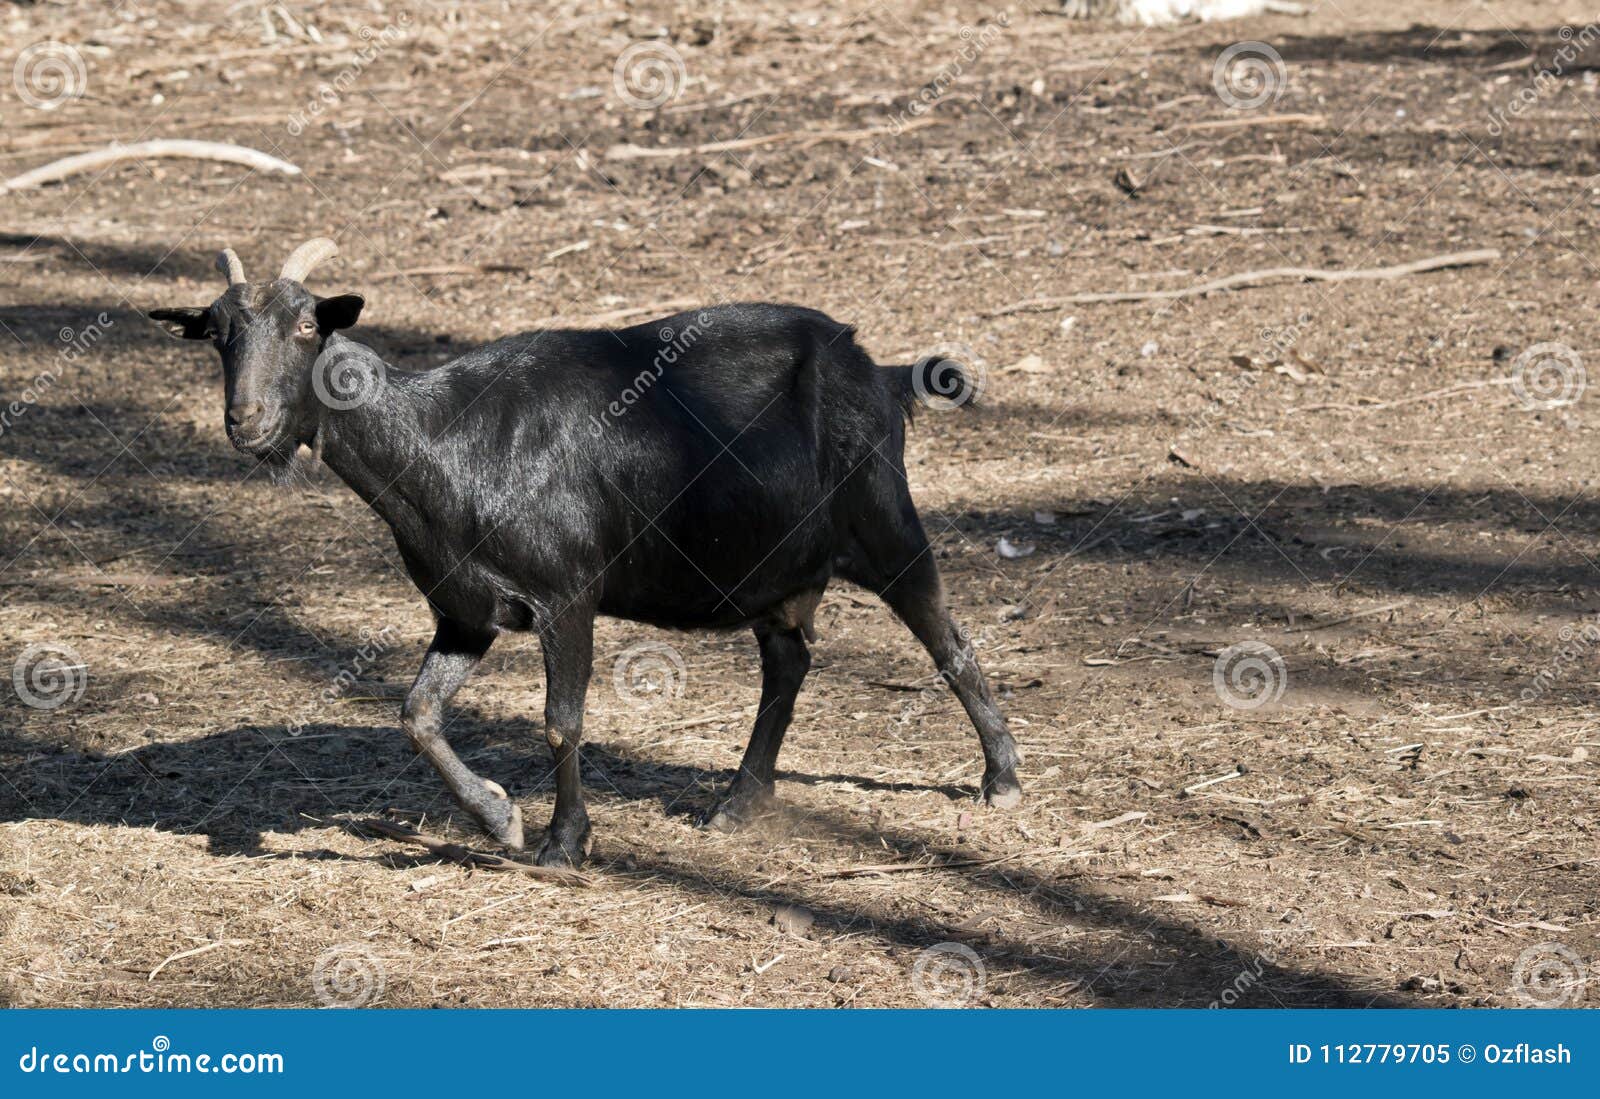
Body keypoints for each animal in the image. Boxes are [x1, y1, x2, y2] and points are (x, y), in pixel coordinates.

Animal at [149, 240, 1022, 867]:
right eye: (218, 334)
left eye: (308, 327)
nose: (247, 421)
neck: (446, 441)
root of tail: (880, 370)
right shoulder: (467, 612)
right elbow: (417, 713)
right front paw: (500, 817)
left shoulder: (566, 593)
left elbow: (561, 722)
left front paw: (564, 842)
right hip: (768, 563)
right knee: (790, 661)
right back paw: (737, 804)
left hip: (882, 518)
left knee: (945, 636)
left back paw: (1002, 776)